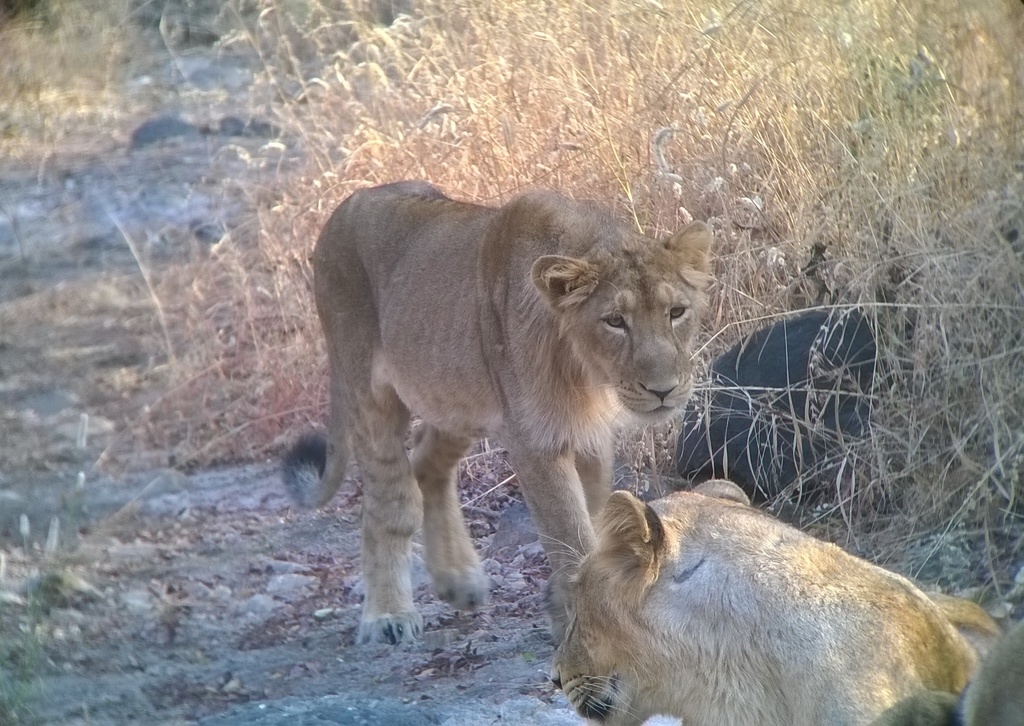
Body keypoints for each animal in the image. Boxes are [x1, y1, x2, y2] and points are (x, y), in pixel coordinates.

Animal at [282, 180, 713, 645]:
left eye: (676, 312)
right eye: (615, 321)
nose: (663, 390)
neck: (587, 374)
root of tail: (346, 205)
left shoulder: (590, 438)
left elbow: (599, 524)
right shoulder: (535, 441)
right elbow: (570, 536)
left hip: (456, 398)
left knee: (427, 464)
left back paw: (459, 580)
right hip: (367, 388)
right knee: (390, 502)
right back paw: (387, 614)